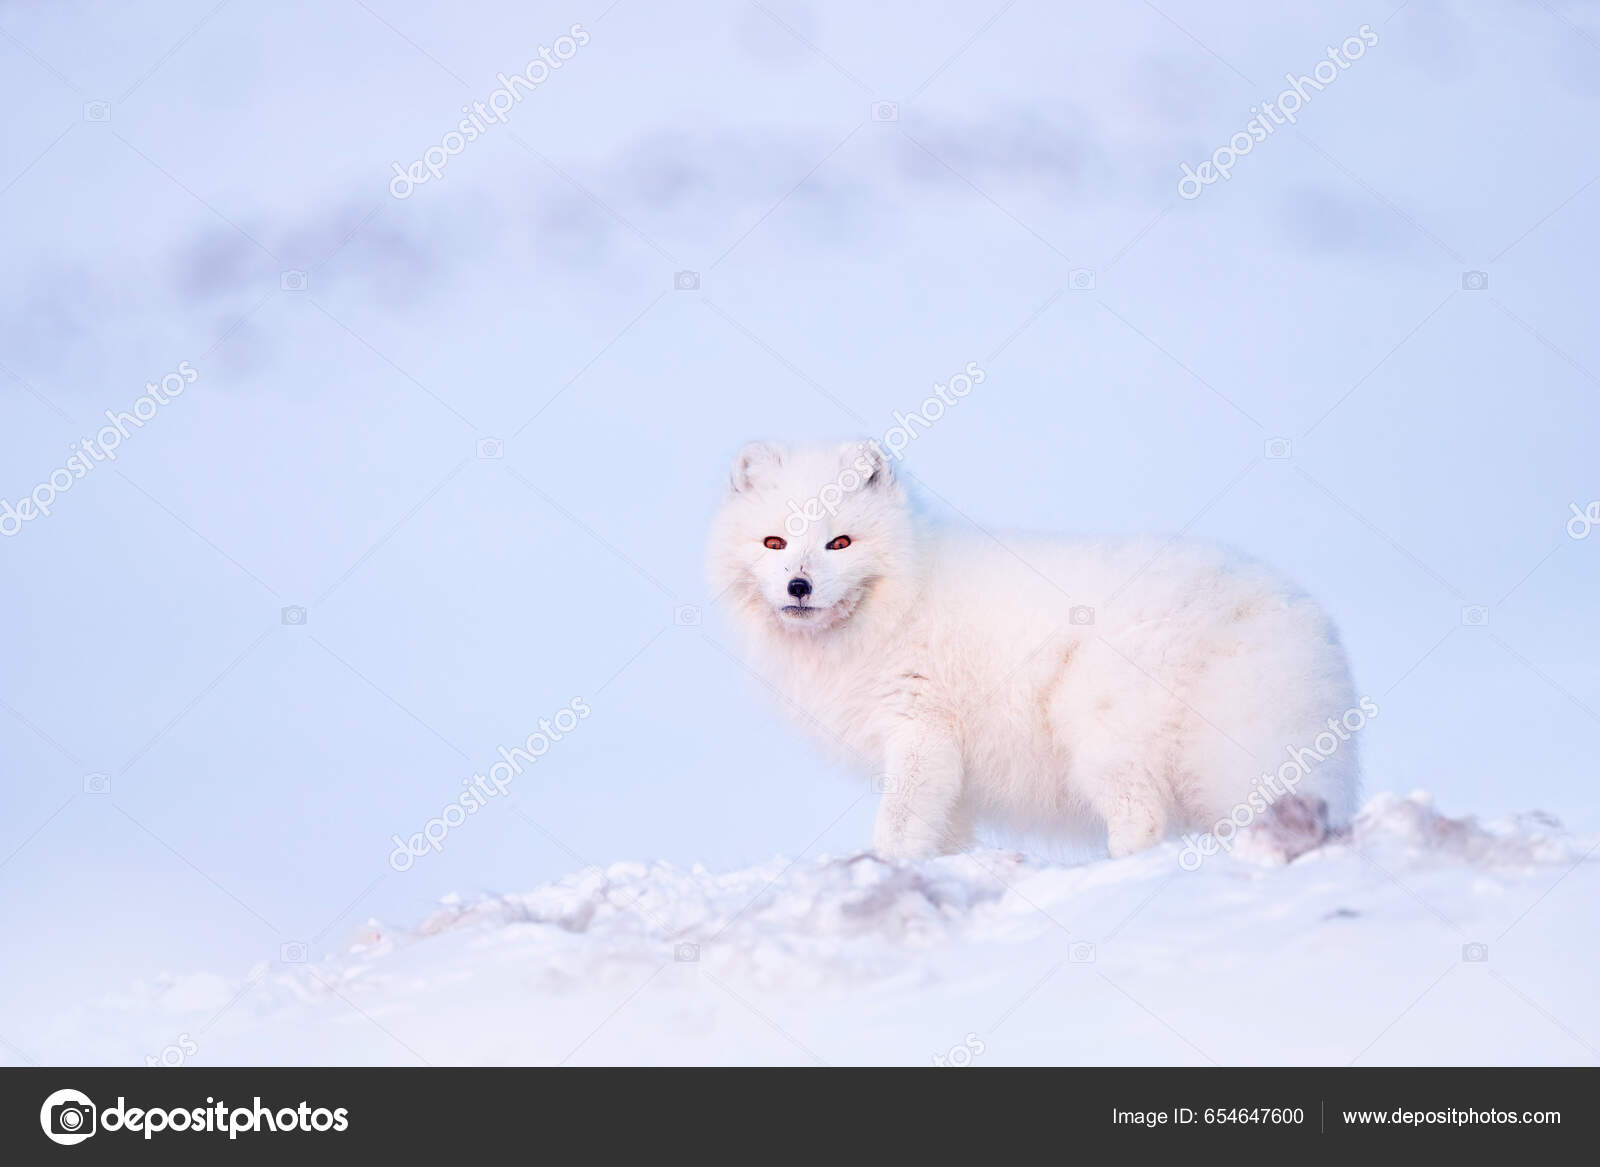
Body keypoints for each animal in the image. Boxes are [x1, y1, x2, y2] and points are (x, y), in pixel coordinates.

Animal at [708, 440, 1362, 861]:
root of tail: (1266, 601)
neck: (899, 601)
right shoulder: (948, 772)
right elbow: (938, 835)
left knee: (1143, 820)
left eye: (839, 543)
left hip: (1099, 736)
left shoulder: (921, 728)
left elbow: (894, 827)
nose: (799, 585)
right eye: (774, 542)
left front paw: (883, 865)